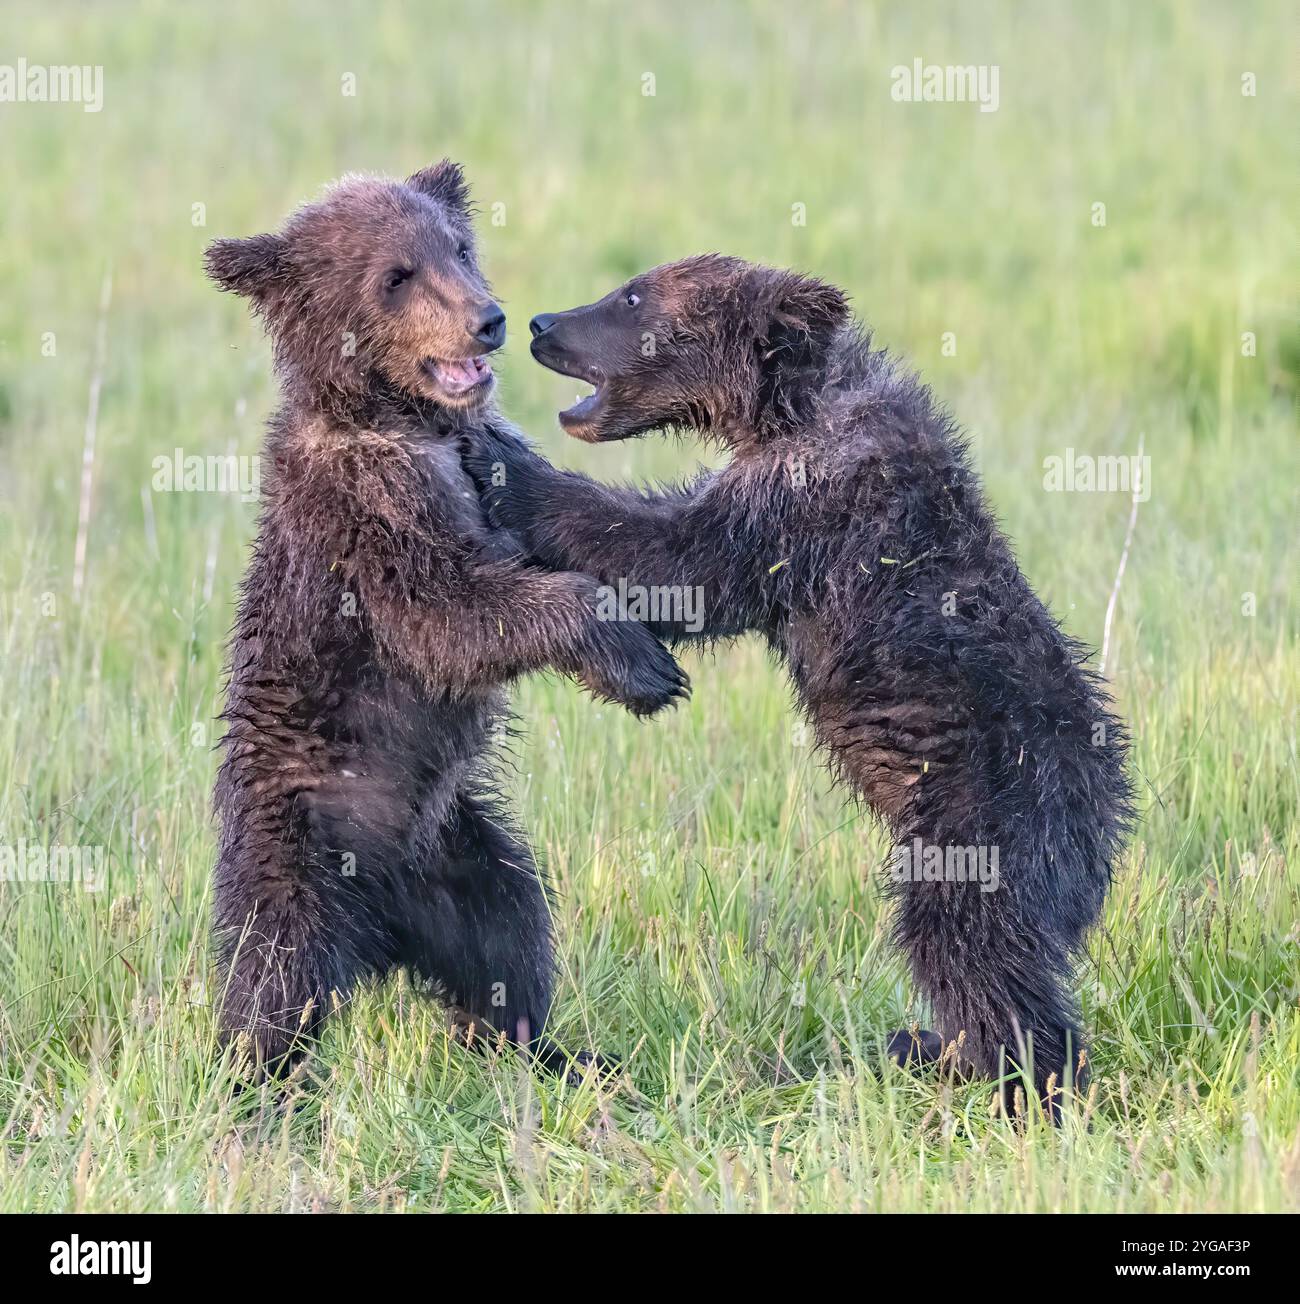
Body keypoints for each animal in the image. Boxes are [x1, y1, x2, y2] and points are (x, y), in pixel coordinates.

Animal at [203, 162, 688, 1079]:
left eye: (458, 248)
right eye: (396, 276)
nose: (487, 319)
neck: (402, 420)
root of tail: (384, 938)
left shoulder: (478, 464)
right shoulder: (366, 521)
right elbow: (451, 617)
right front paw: (640, 664)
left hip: (458, 849)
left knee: (510, 930)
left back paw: (550, 1051)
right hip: (299, 843)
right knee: (276, 972)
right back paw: (257, 1082)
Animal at [462, 254, 1134, 1118]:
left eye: (633, 296)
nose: (543, 323)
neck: (784, 411)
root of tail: (1104, 818)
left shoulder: (811, 501)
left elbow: (678, 559)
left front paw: (506, 461)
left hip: (990, 814)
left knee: (970, 942)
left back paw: (1023, 1085)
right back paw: (931, 1048)